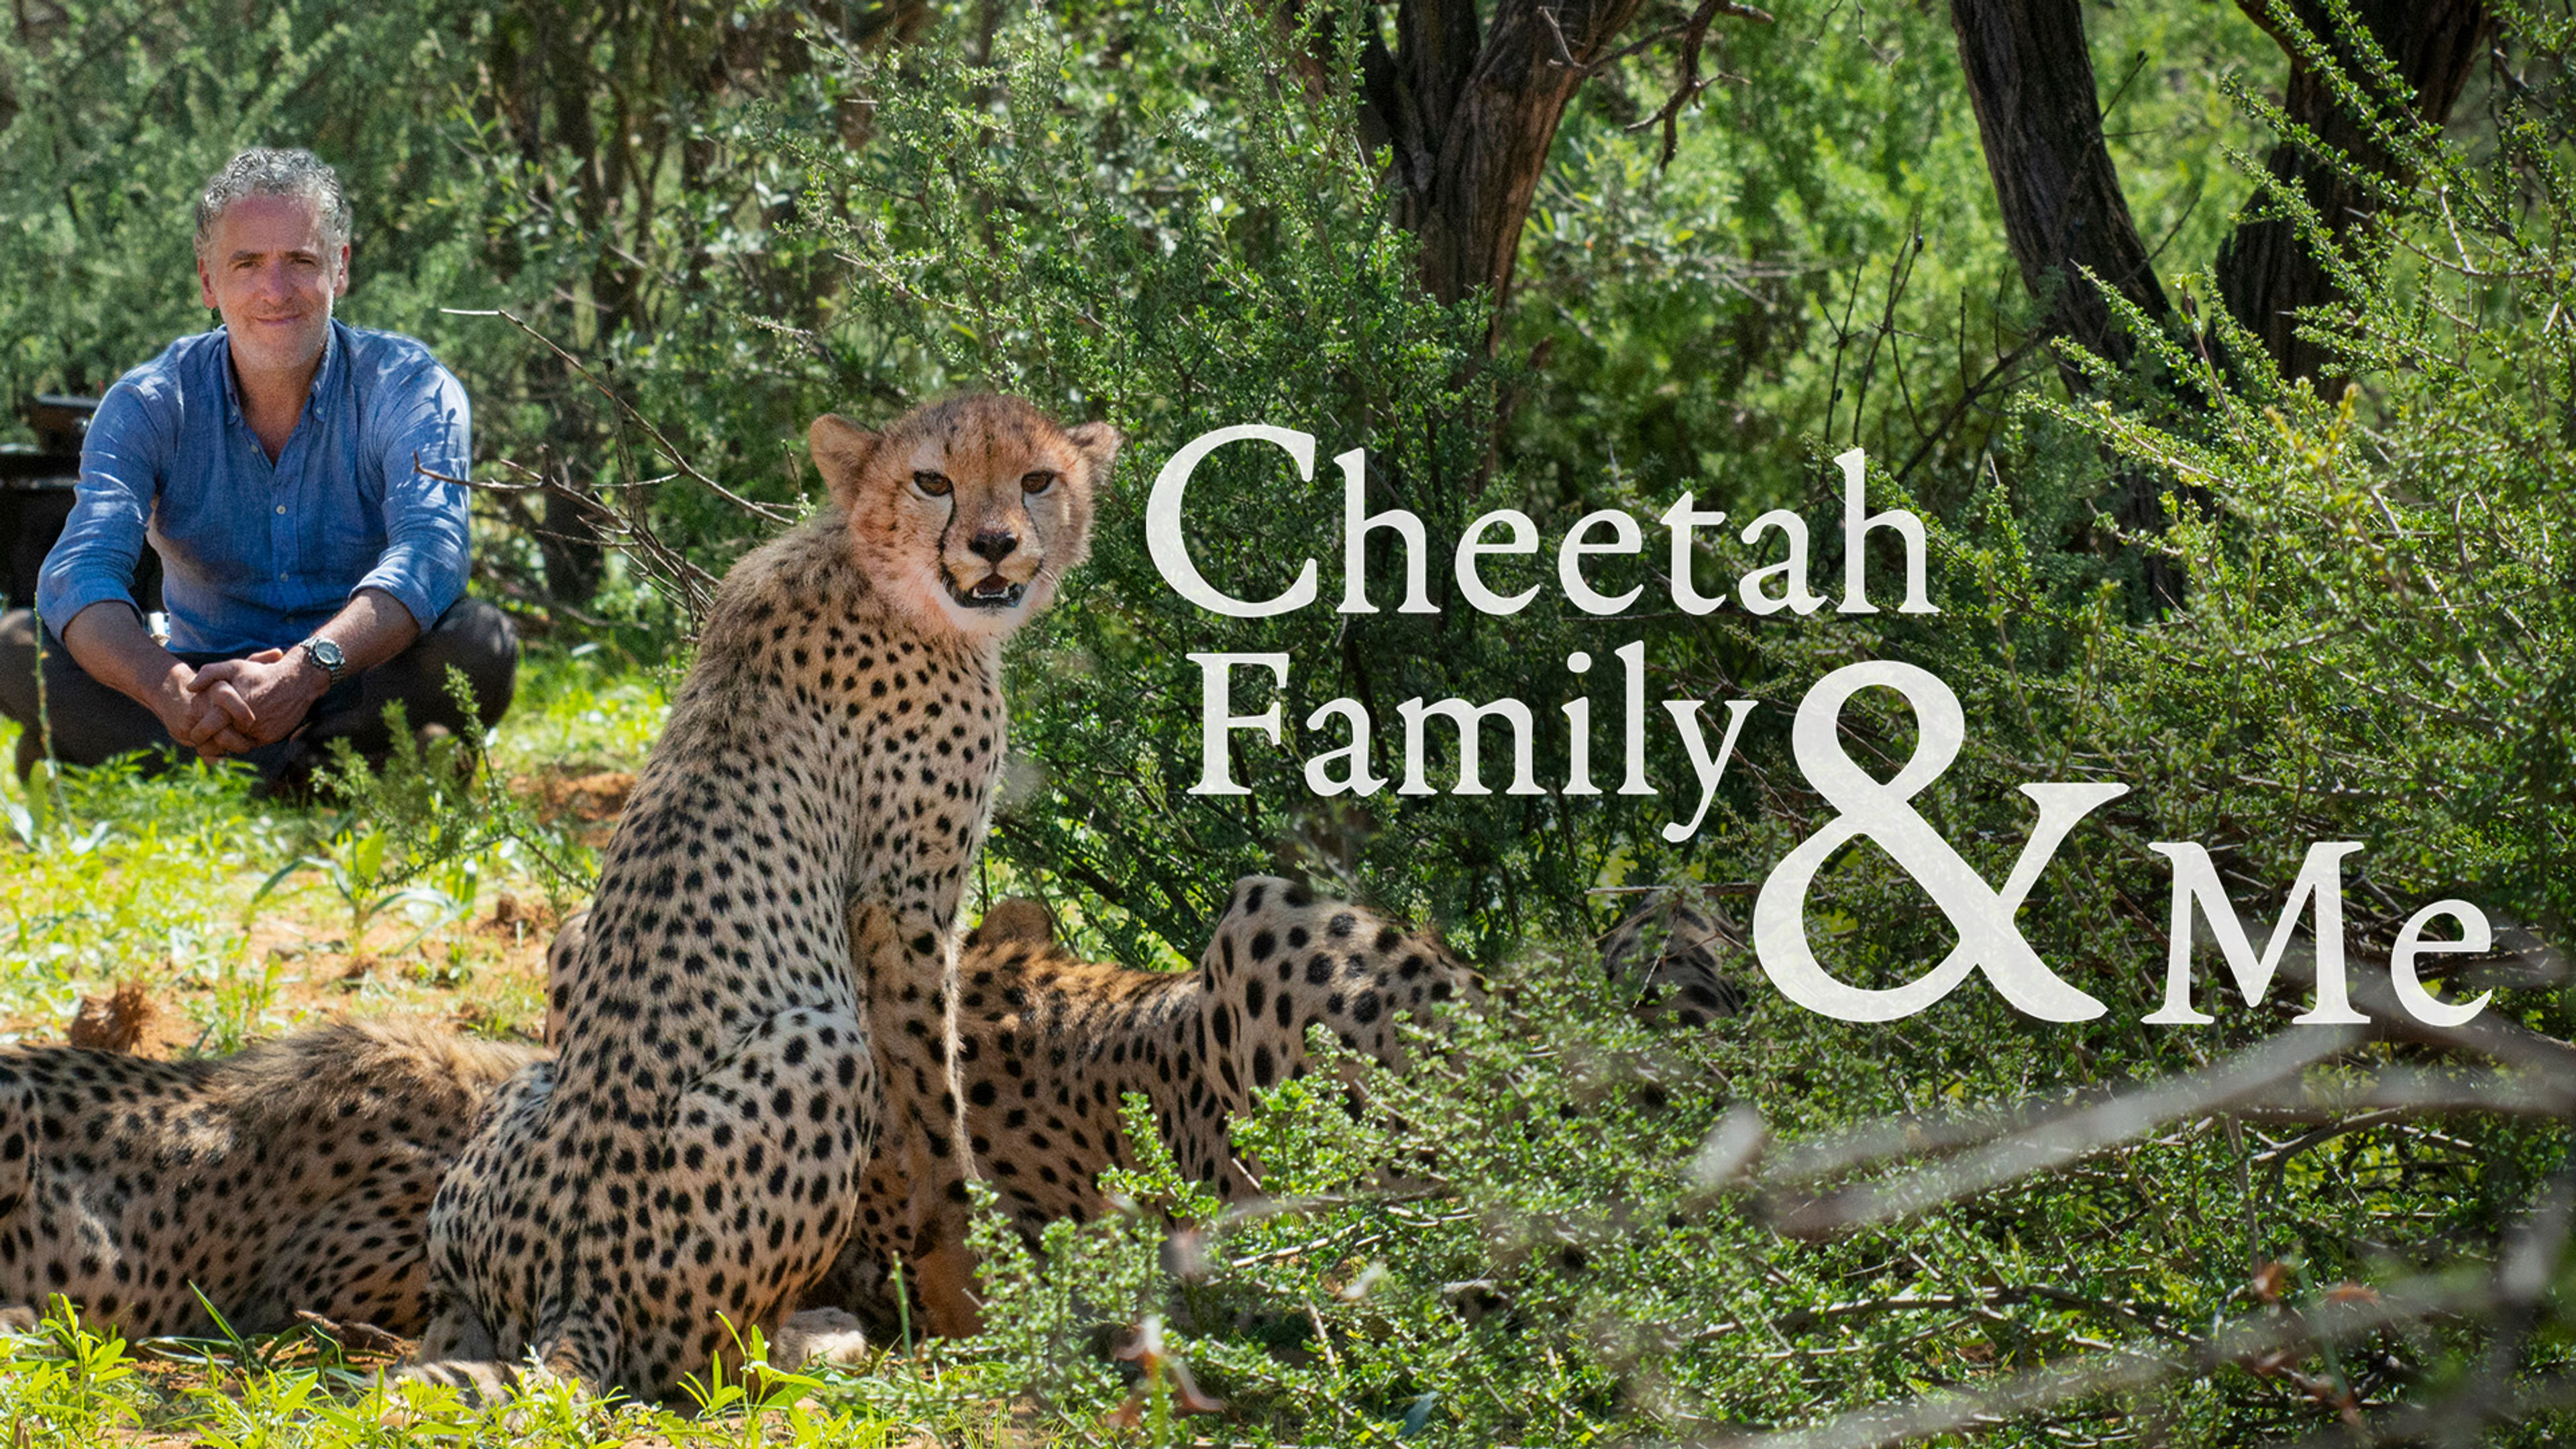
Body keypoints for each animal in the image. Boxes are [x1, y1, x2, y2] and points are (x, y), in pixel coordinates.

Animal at [405, 394, 1116, 1400]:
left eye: (1038, 479)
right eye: (932, 480)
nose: (993, 544)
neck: (870, 564)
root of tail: (575, 1287)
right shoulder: (904, 903)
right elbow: (937, 1115)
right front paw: (969, 1287)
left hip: (521, 1097)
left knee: (455, 1322)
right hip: (821, 1047)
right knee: (716, 1361)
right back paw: (819, 1341)